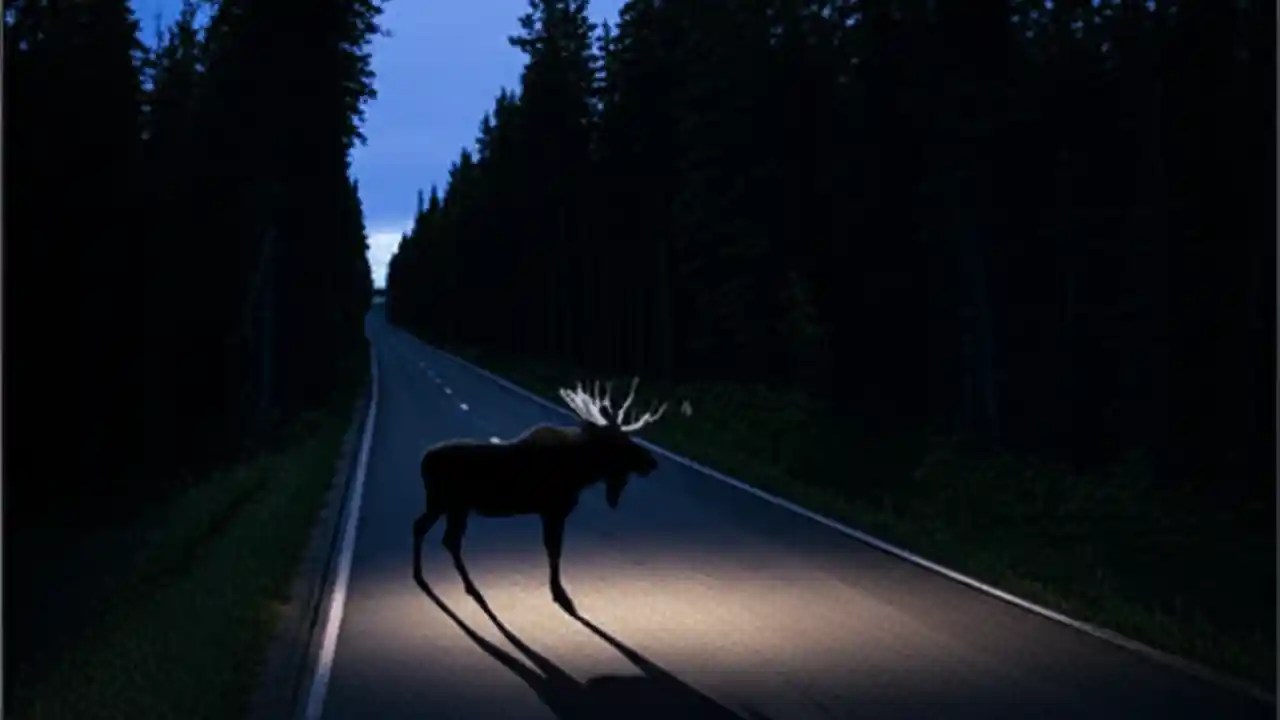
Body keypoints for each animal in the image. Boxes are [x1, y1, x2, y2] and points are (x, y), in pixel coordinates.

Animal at [412, 378, 675, 614]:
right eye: (621, 441)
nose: (652, 461)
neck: (583, 472)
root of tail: (424, 460)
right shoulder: (554, 510)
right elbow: (554, 550)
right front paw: (559, 592)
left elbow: (552, 549)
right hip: (452, 504)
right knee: (447, 538)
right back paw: (465, 586)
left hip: (444, 504)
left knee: (429, 530)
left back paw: (422, 575)